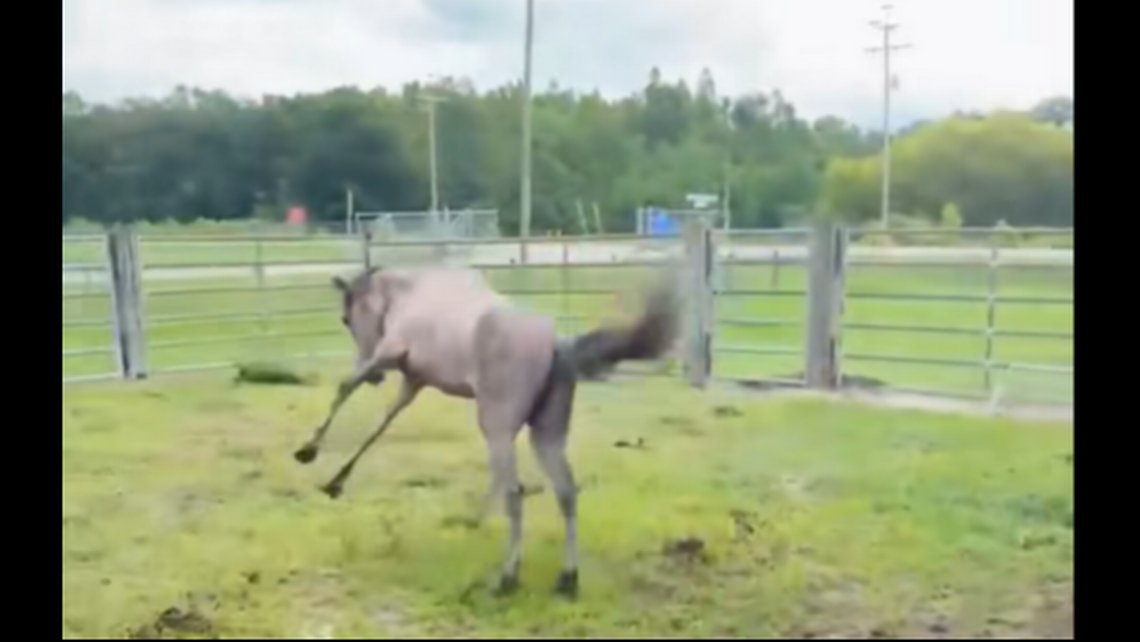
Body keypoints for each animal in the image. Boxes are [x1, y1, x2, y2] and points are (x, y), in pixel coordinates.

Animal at [292, 264, 683, 598]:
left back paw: (506, 578)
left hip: (496, 426)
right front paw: (335, 480)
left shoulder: (391, 353)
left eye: (346, 318)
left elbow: (345, 389)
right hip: (546, 434)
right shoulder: (414, 380)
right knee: (566, 492)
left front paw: (308, 451)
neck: (410, 294)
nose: (375, 378)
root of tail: (557, 345)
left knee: (515, 492)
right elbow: (383, 421)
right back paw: (566, 580)